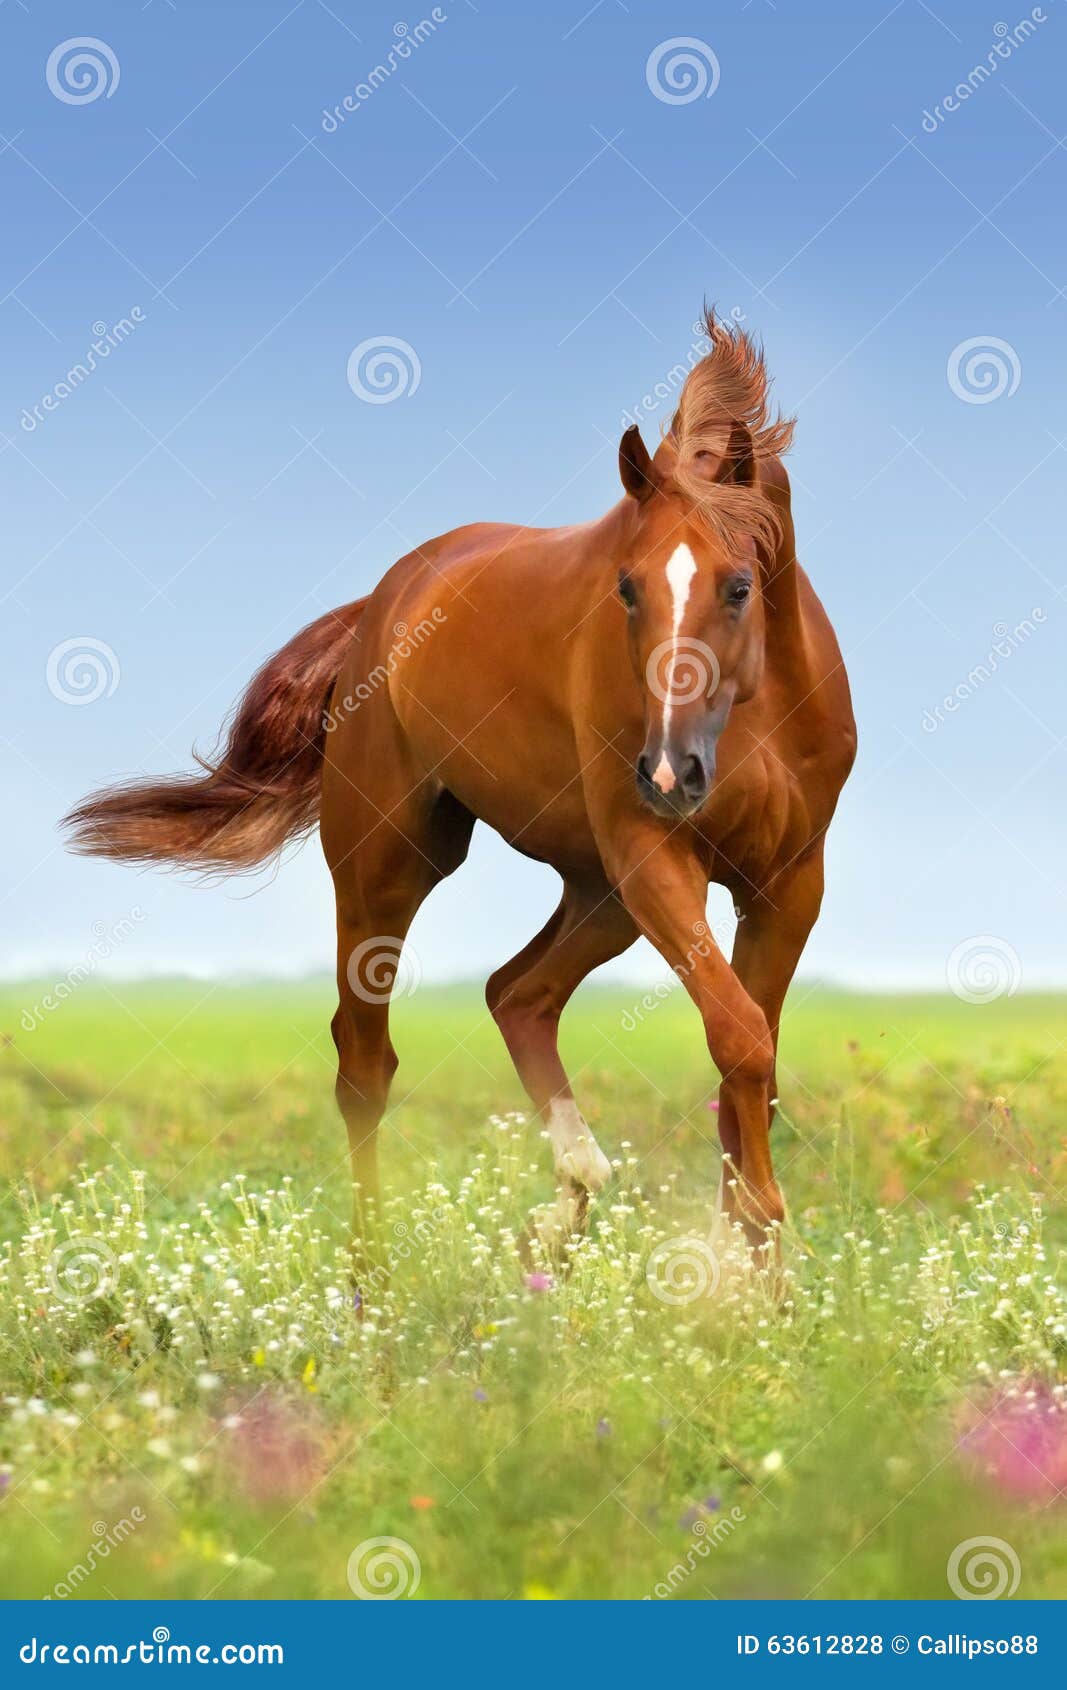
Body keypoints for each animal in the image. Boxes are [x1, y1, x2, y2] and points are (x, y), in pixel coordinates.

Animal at [64, 309, 856, 1265]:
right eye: (626, 590)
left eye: (739, 587)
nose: (669, 774)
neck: (756, 712)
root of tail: (381, 607)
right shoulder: (658, 856)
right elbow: (739, 1038)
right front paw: (755, 1244)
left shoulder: (787, 882)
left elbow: (753, 1060)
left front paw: (746, 1268)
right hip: (394, 867)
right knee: (365, 1061)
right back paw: (376, 1275)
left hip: (600, 892)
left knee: (515, 994)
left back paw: (565, 1204)